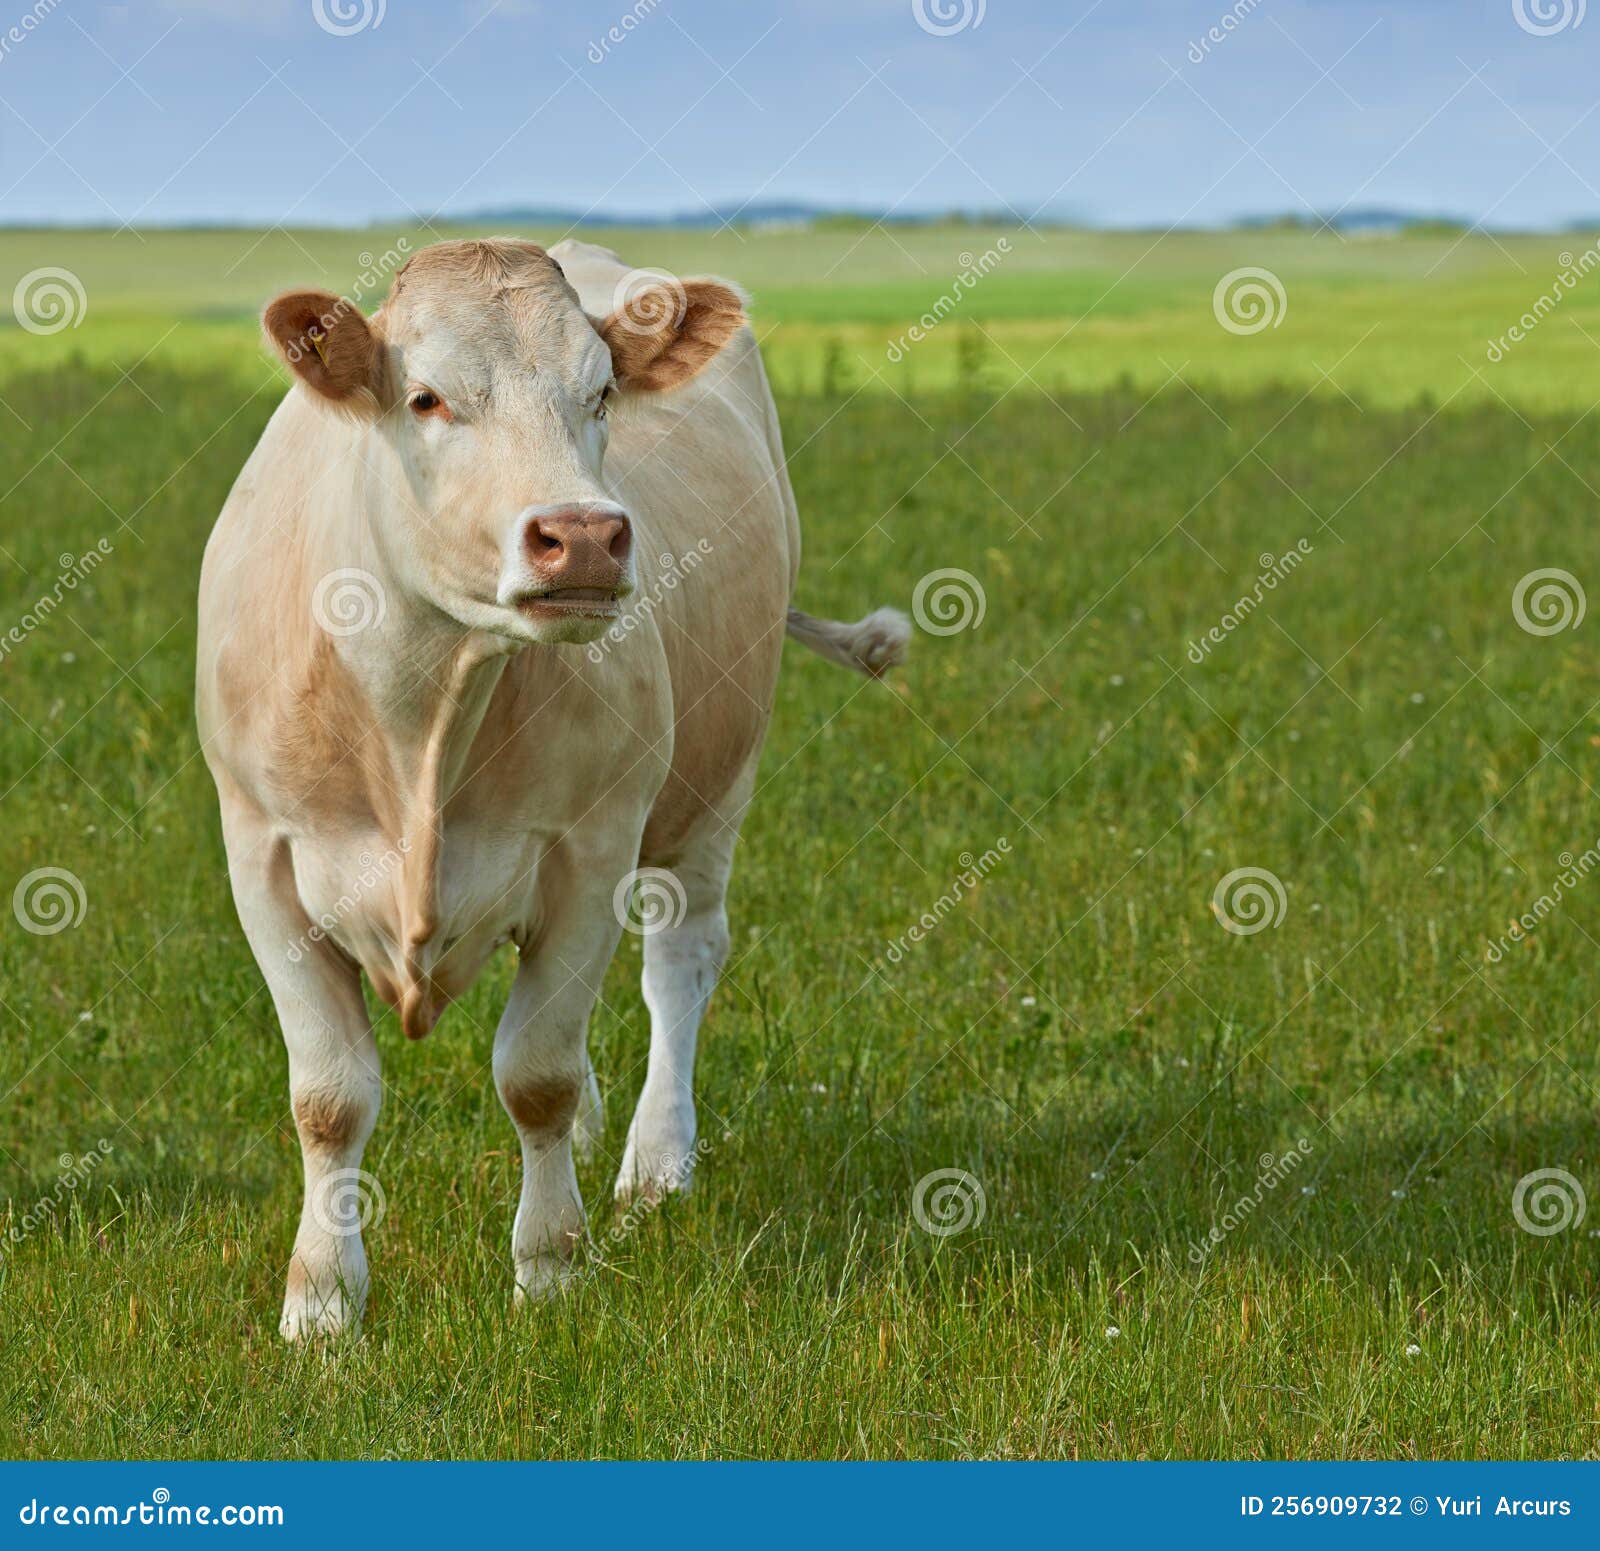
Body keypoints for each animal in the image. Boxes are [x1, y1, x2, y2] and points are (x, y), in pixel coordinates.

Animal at [196, 237, 909, 1339]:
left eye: (602, 392)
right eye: (427, 397)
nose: (581, 534)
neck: (421, 719)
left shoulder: (591, 846)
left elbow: (536, 1075)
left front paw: (551, 1269)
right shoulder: (263, 859)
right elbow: (330, 1096)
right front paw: (321, 1302)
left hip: (716, 786)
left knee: (680, 962)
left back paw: (656, 1160)